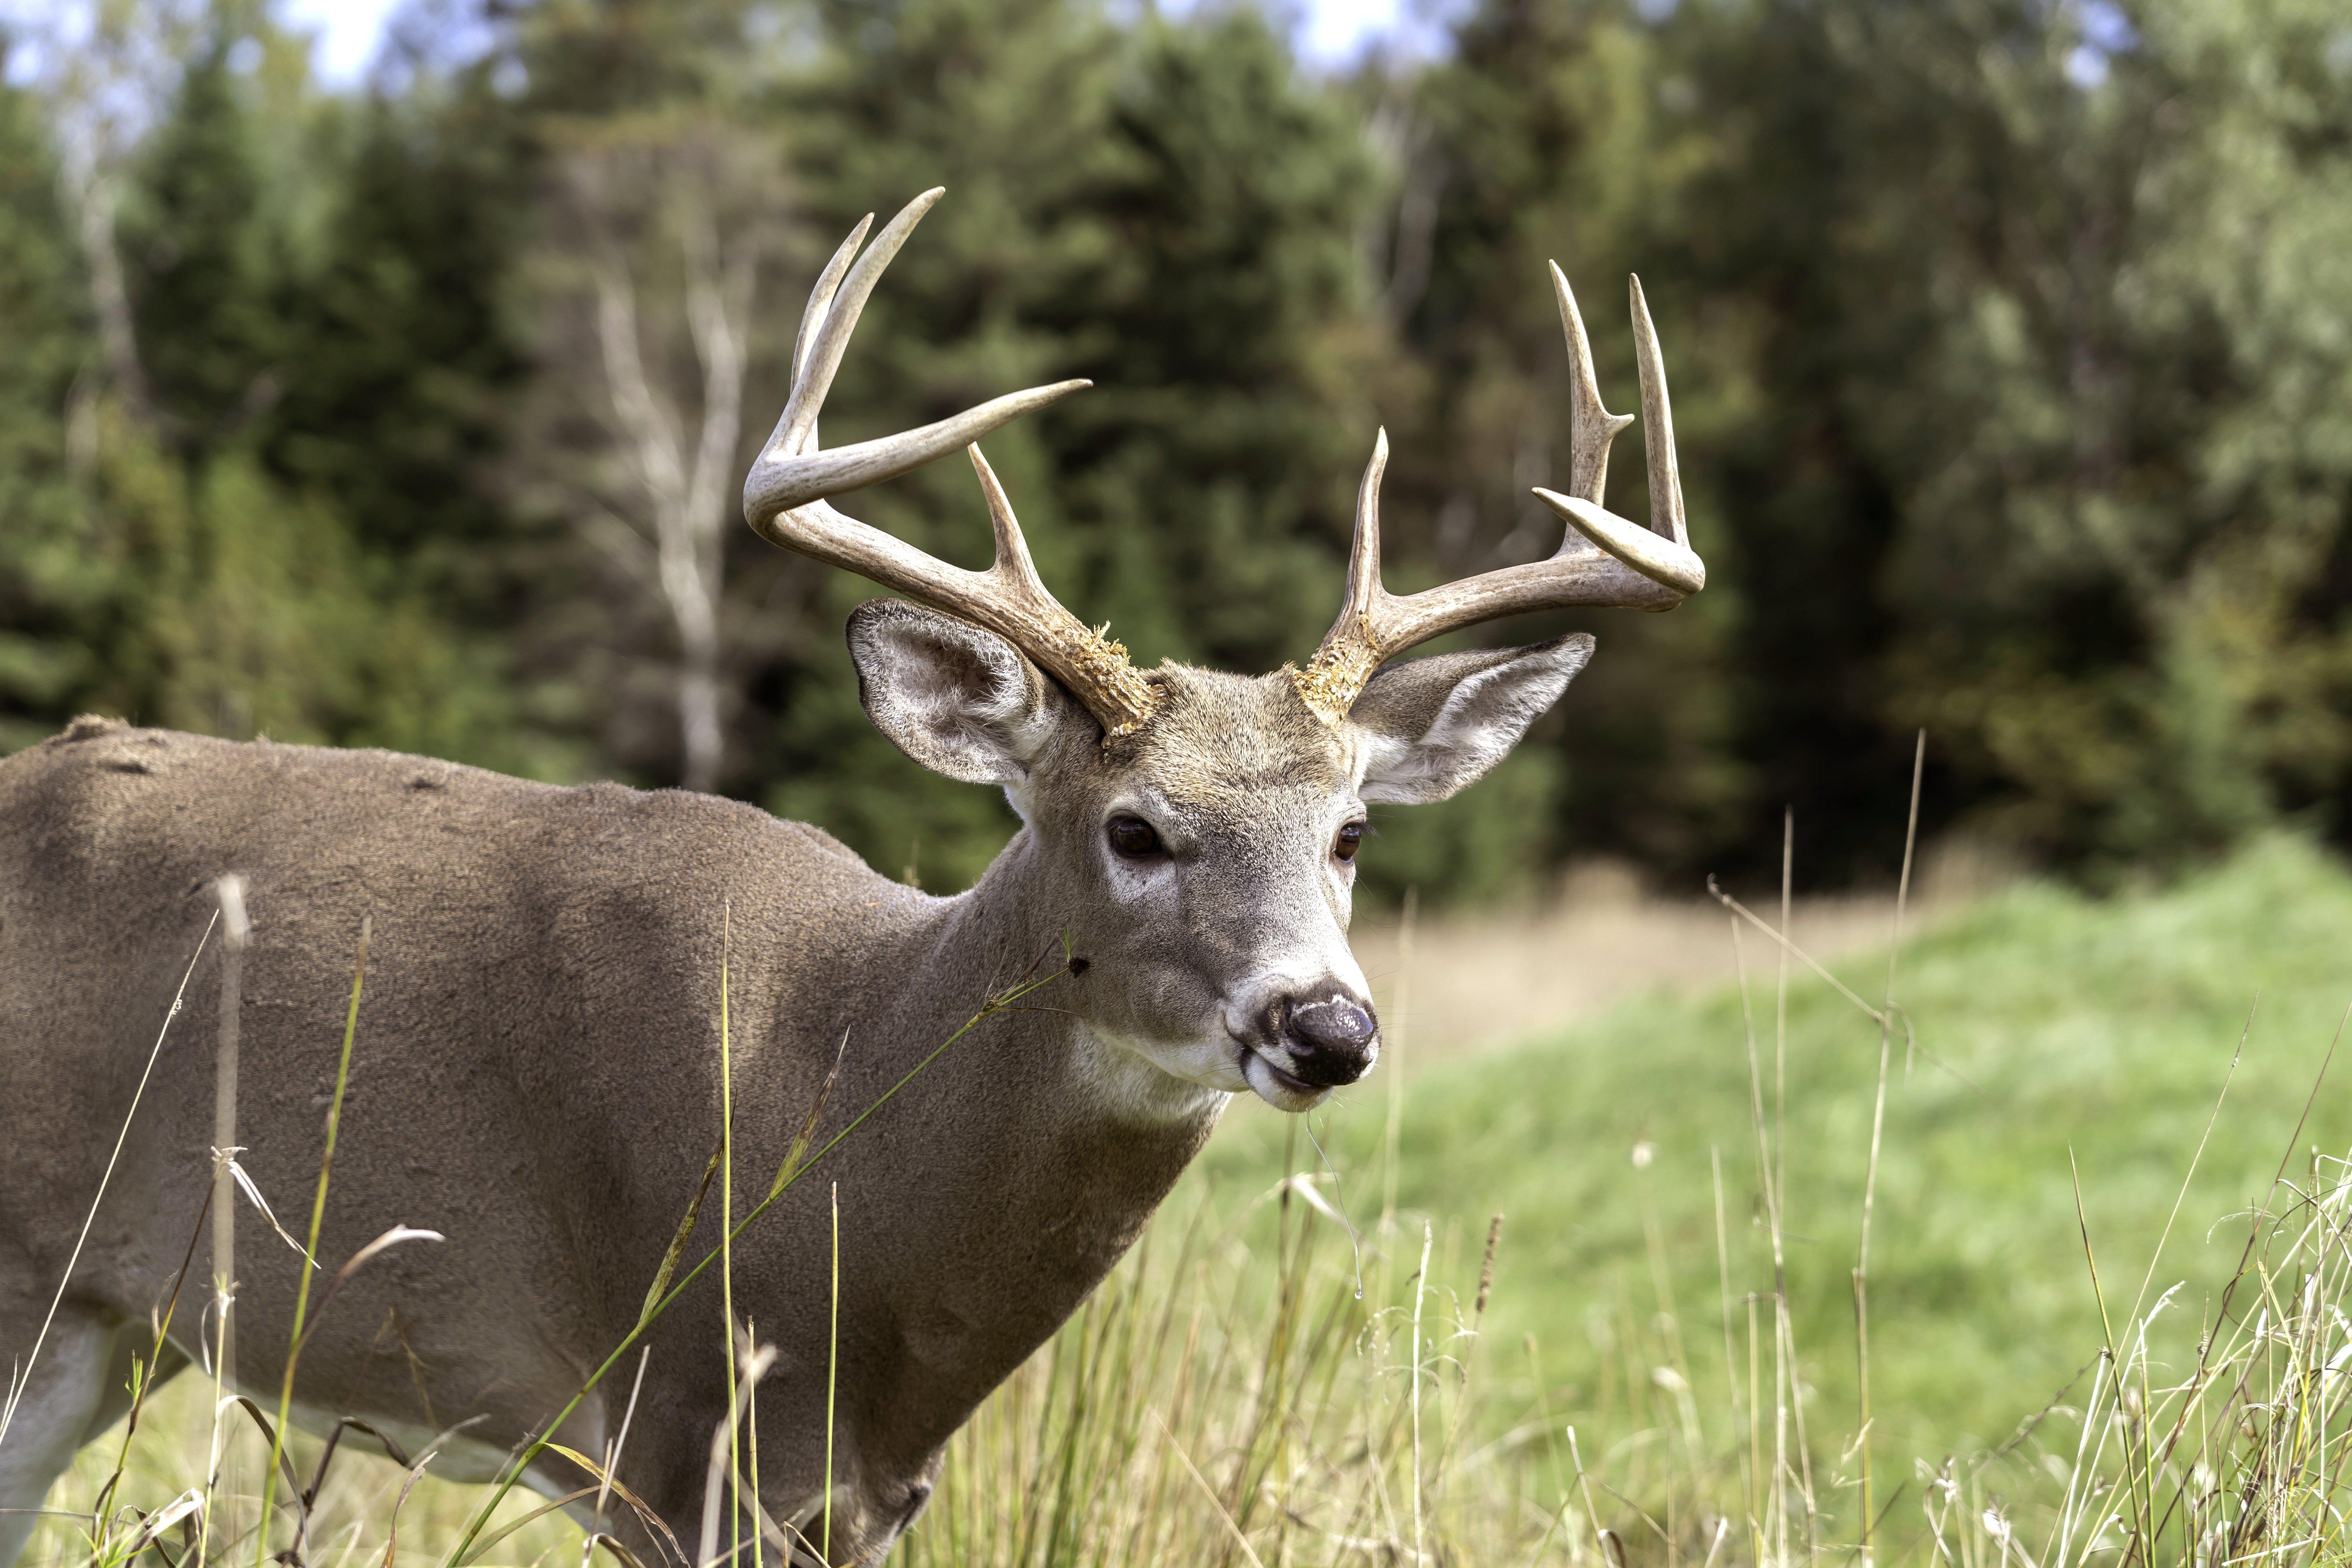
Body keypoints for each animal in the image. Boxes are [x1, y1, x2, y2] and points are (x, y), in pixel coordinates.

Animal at [0, 192, 1703, 1568]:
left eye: (1352, 833)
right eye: (1135, 829)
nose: (1328, 1027)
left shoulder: (866, 1493)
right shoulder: (672, 1424)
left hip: (115, 1325)